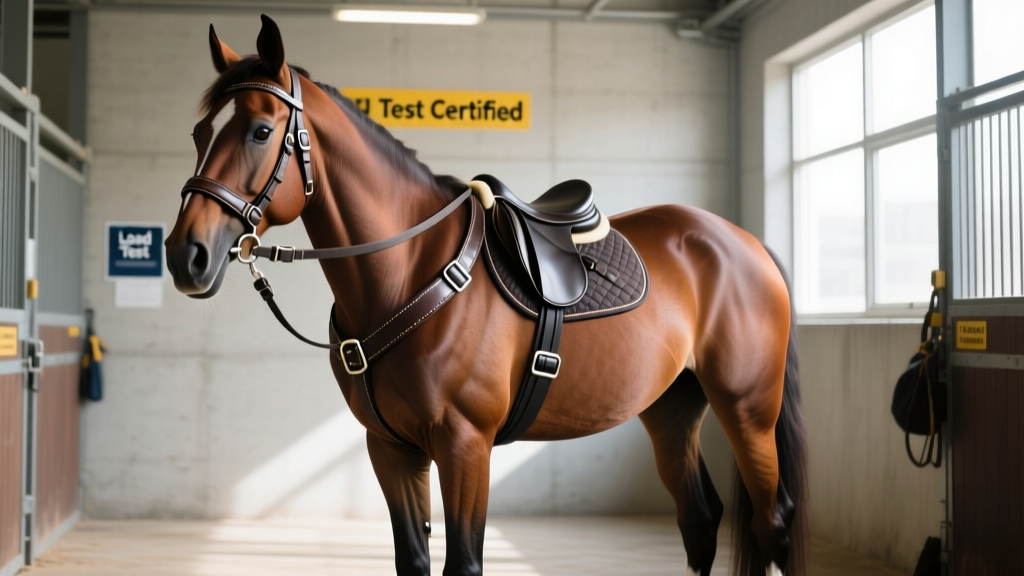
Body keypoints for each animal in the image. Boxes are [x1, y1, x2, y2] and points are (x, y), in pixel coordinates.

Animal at [164, 15, 807, 576]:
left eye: (260, 130)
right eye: (199, 132)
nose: (183, 255)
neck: (411, 273)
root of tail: (743, 241)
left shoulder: (465, 445)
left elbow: (464, 562)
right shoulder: (390, 449)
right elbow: (414, 560)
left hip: (747, 410)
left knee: (772, 521)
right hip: (672, 408)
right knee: (700, 520)